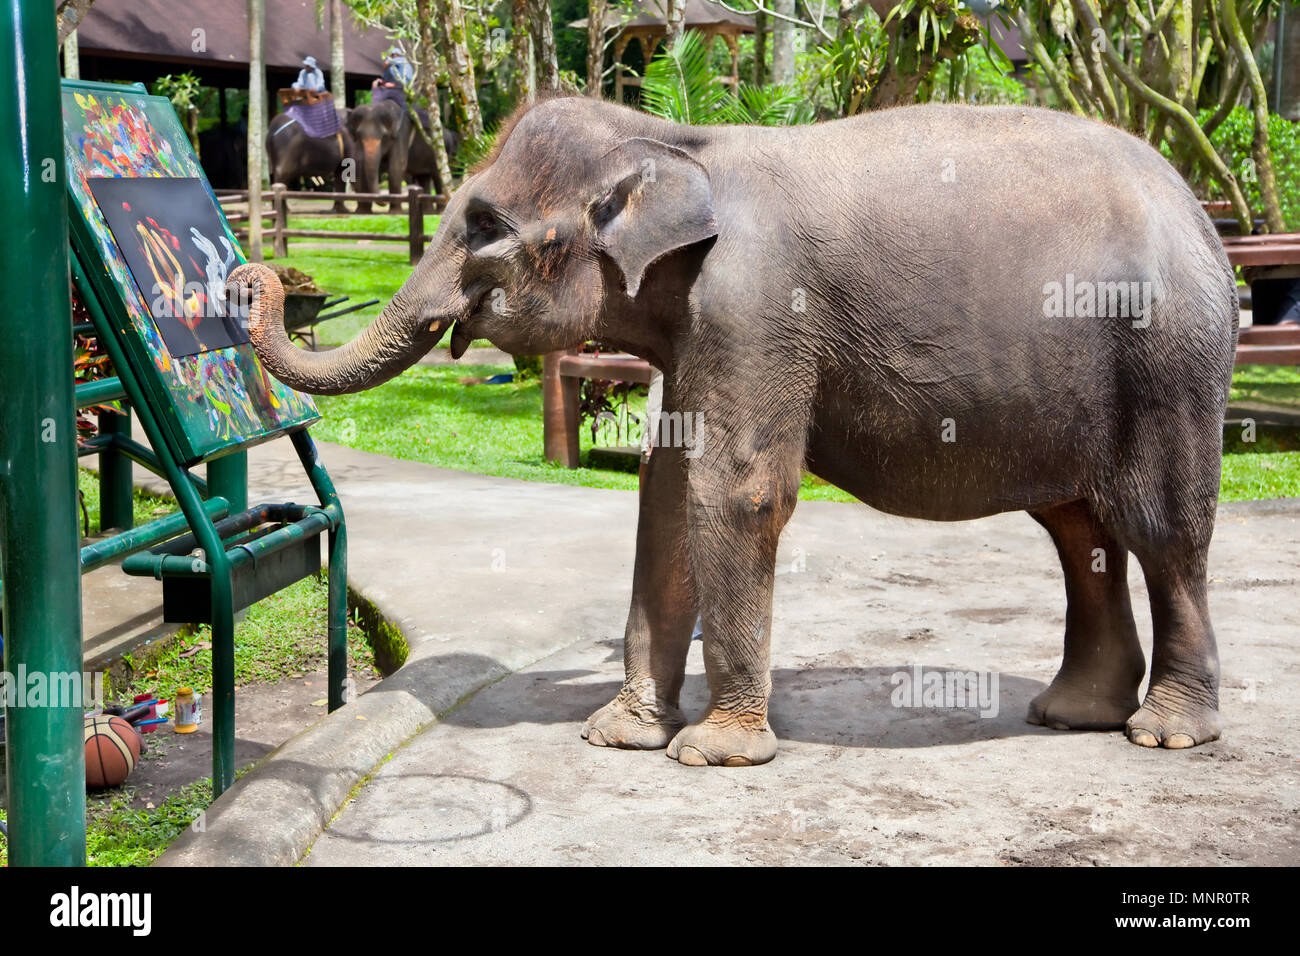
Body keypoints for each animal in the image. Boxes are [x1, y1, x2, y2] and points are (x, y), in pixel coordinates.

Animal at [234, 96, 1238, 767]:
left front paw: (713, 753)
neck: (675, 139)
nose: (256, 278)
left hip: (1168, 357)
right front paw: (621, 735)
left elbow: (738, 490)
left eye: (483, 225)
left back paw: (1165, 734)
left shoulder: (754, 304)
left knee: (1162, 530)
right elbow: (665, 492)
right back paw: (1073, 714)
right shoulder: (696, 327)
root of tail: (1200, 209)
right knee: (1078, 529)